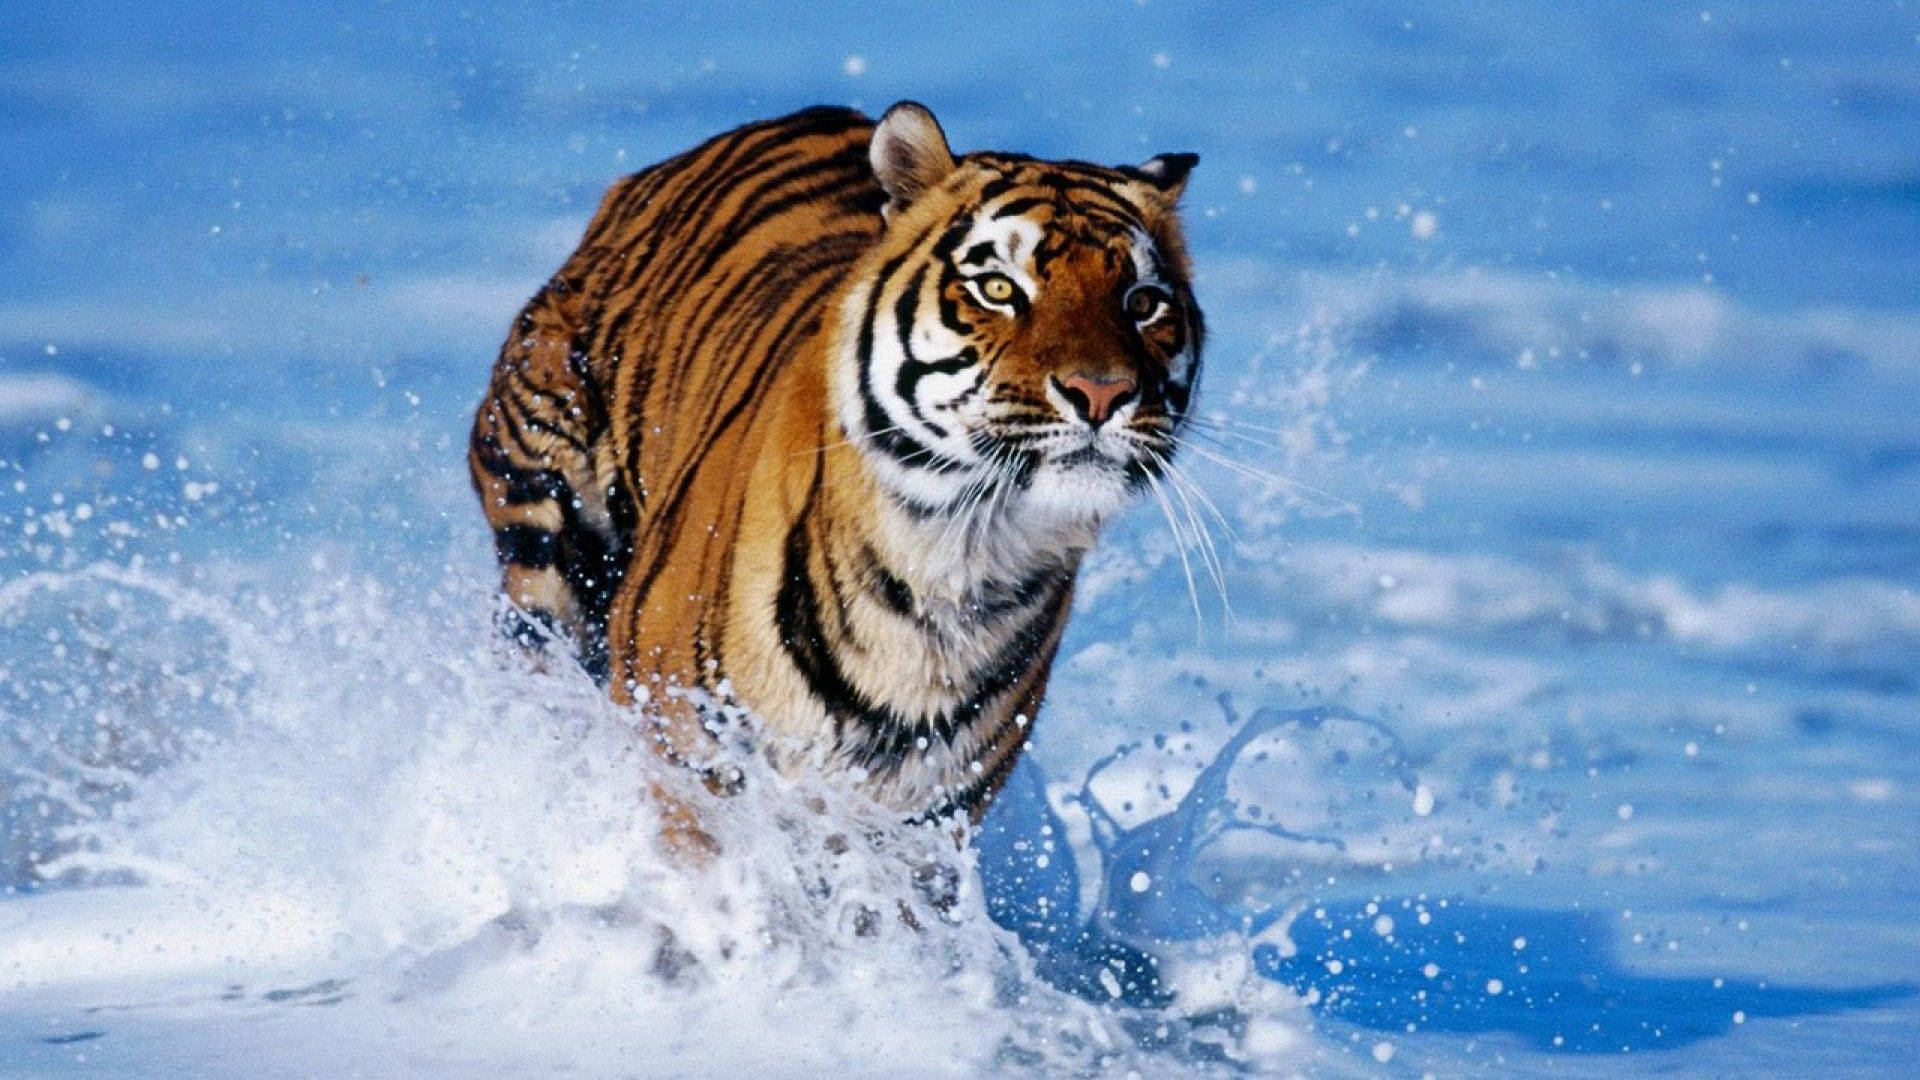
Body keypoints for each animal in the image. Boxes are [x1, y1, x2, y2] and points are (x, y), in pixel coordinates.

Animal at [469, 102, 1202, 829]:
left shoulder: (927, 819)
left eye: (1143, 302)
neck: (955, 563)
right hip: (545, 535)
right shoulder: (687, 756)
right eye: (998, 288)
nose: (1102, 393)